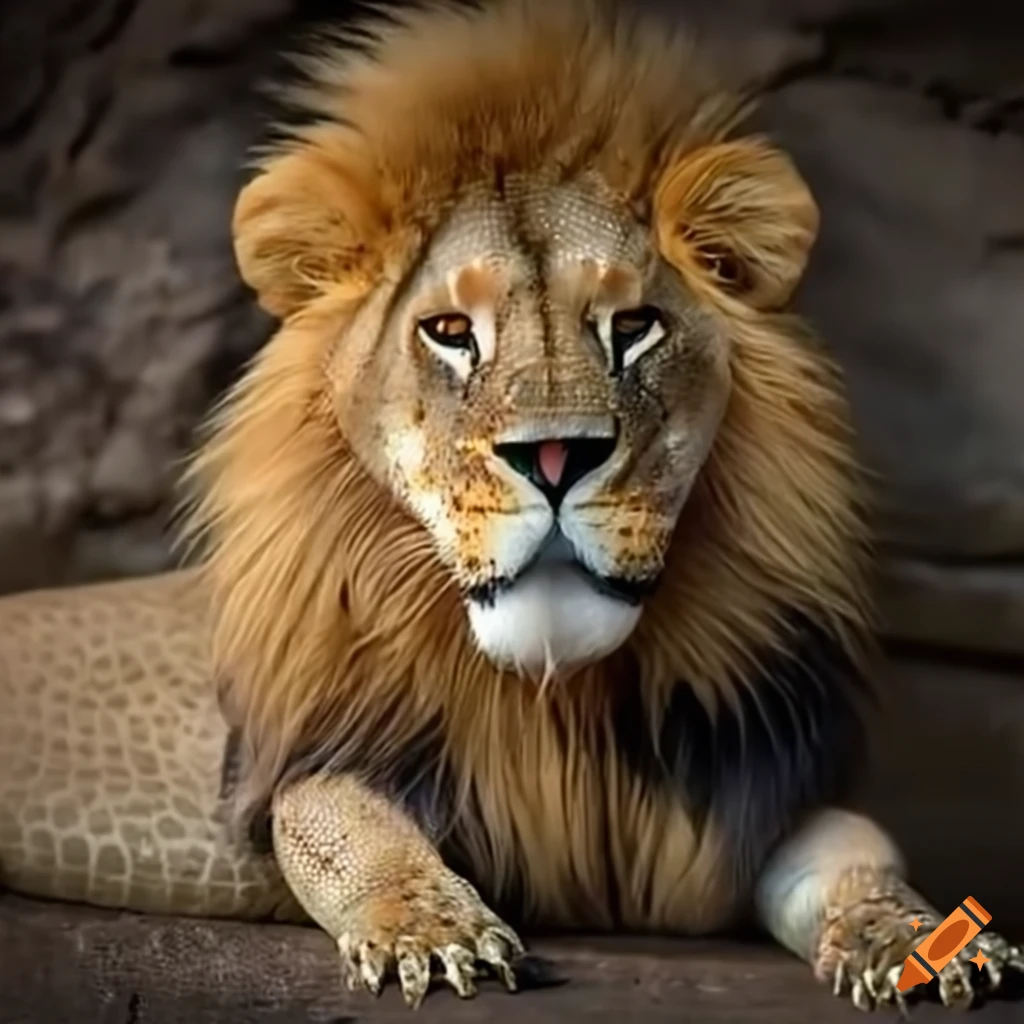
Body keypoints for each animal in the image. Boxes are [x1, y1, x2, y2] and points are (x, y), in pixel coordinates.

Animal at [0, 0, 1021, 1014]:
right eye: (451, 332)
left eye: (632, 326)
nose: (557, 457)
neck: (556, 706)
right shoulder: (314, 762)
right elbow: (343, 830)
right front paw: (430, 931)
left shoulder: (756, 786)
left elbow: (860, 859)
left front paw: (918, 941)